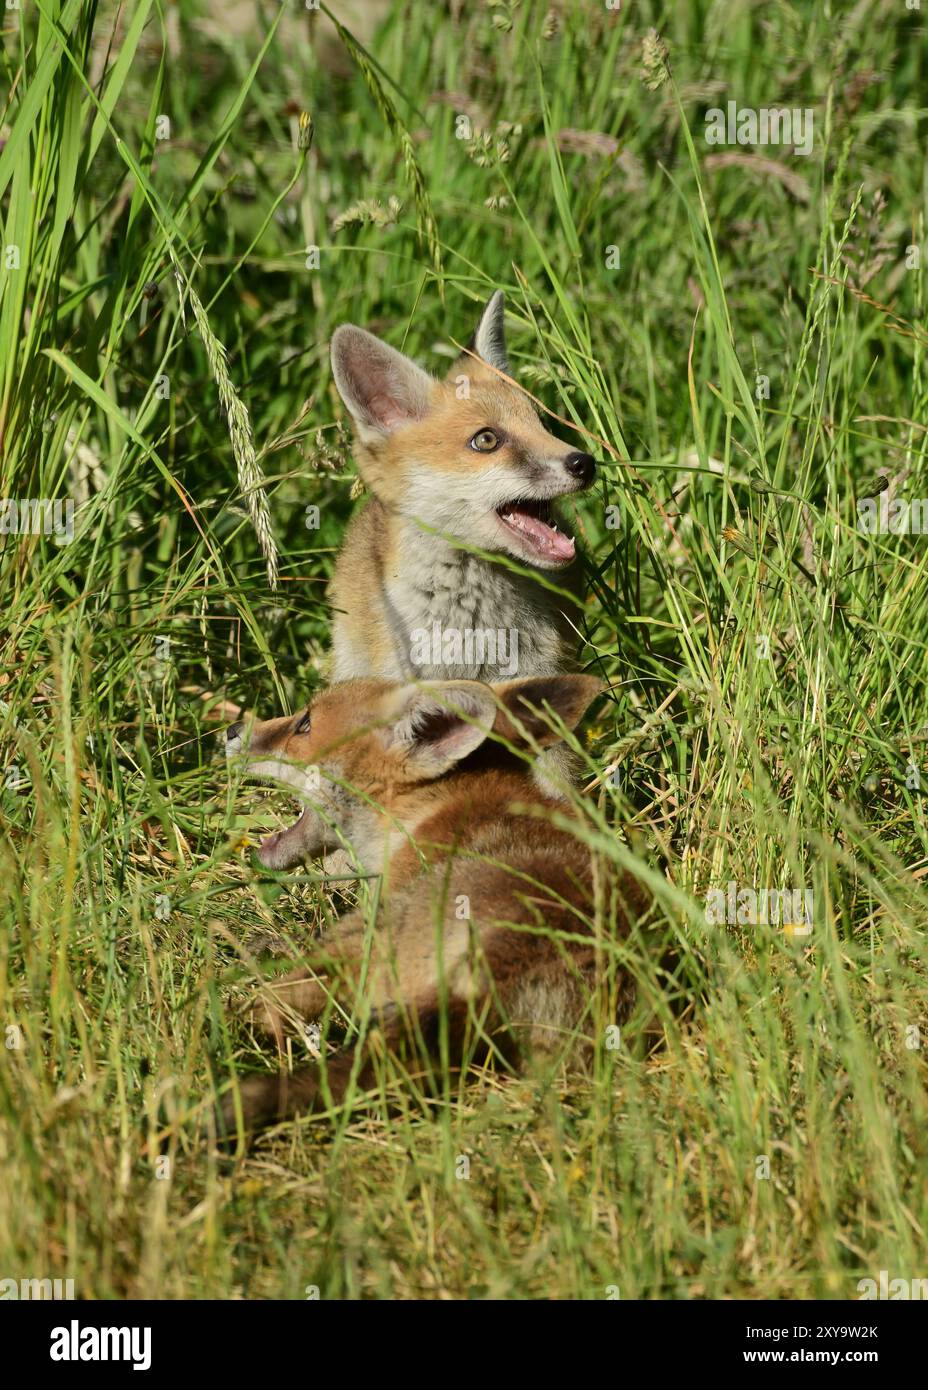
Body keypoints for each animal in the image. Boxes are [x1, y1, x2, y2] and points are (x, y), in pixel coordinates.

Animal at [218, 674, 649, 1137]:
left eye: (305, 725)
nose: (231, 730)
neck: (421, 815)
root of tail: (505, 965)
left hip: (372, 942)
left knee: (267, 1007)